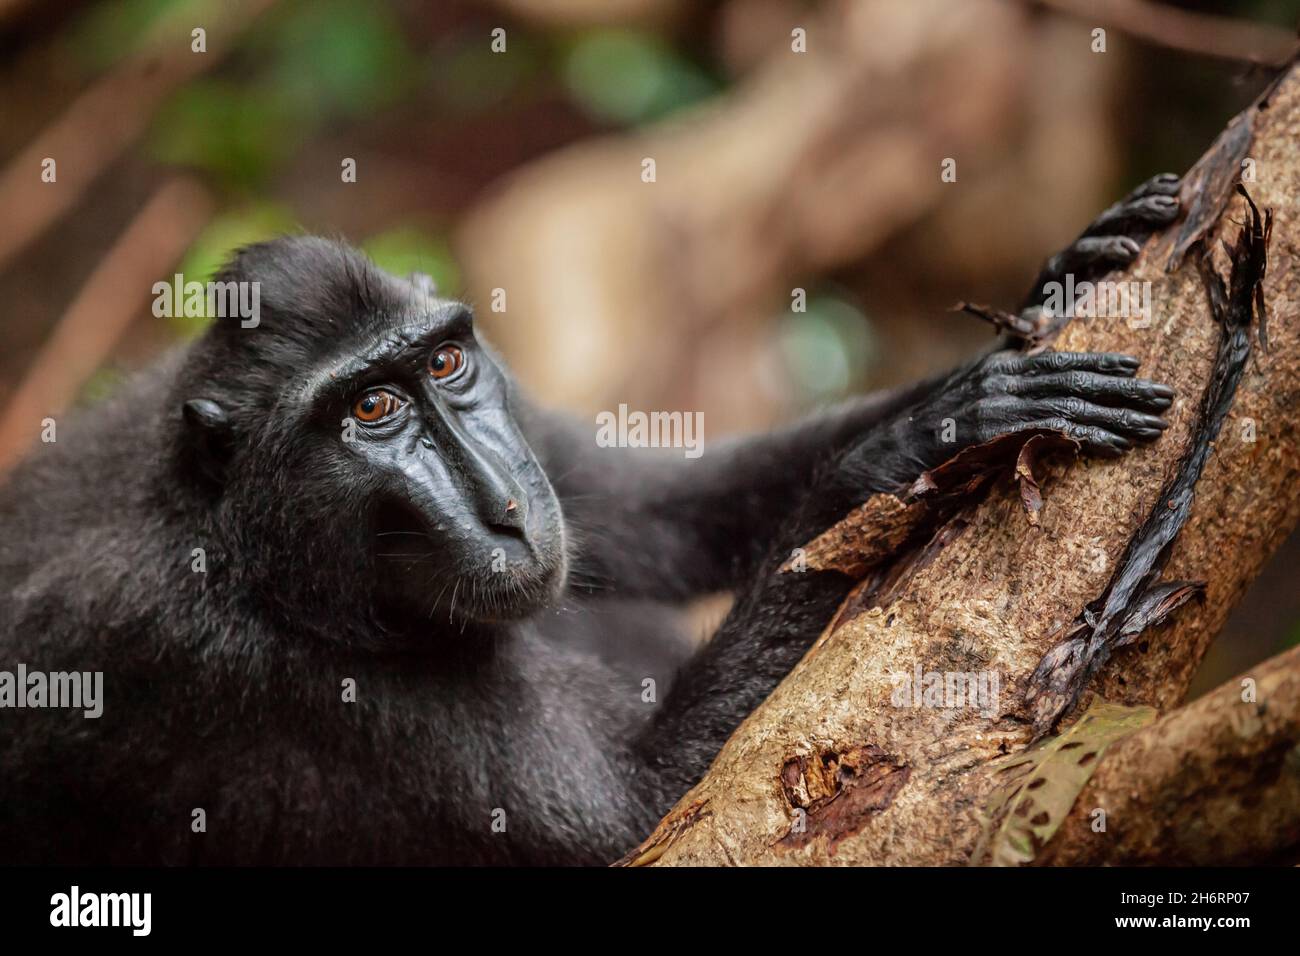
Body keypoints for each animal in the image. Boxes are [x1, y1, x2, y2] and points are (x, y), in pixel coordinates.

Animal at [0, 176, 1179, 865]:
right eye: (370, 411)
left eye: (445, 363)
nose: (509, 505)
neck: (233, 533)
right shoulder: (222, 654)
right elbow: (653, 811)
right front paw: (915, 446)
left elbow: (665, 515)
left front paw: (1059, 279)